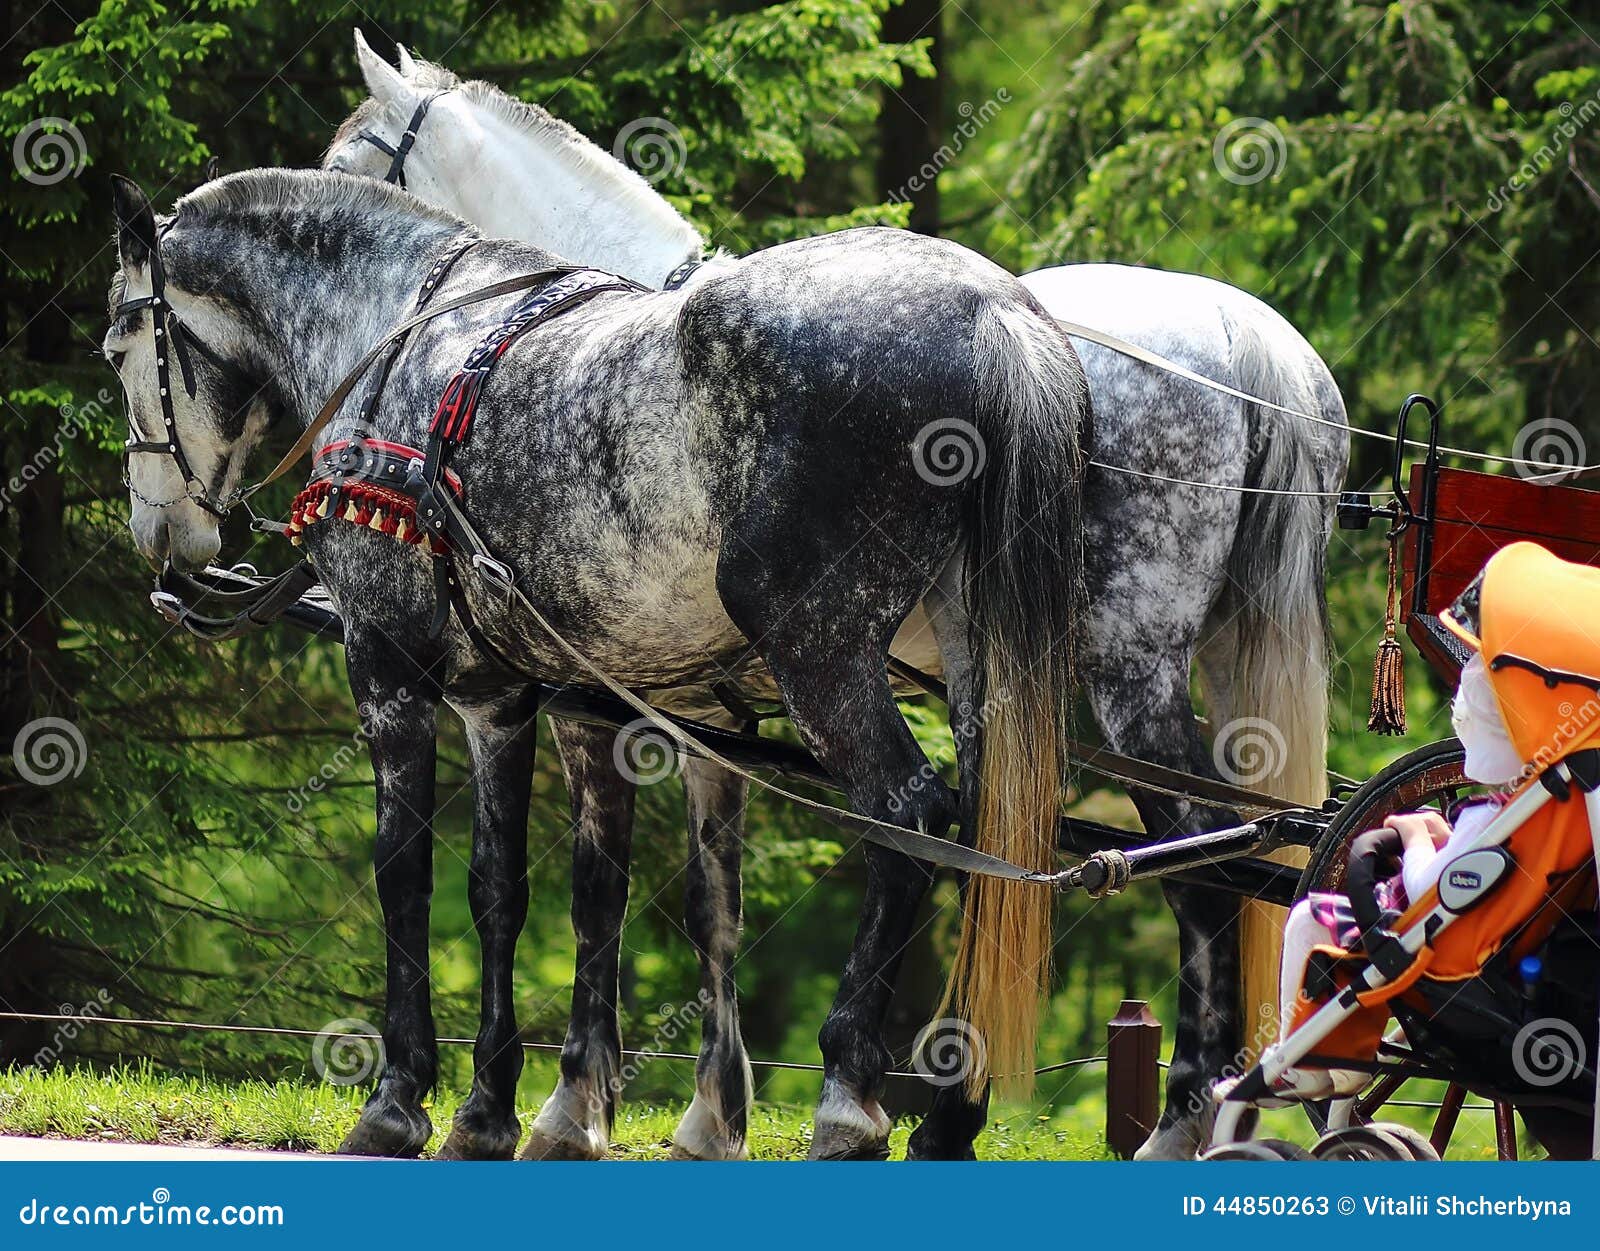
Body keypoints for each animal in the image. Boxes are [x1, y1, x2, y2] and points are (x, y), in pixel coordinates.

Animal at [106, 167, 1092, 1160]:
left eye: (120, 348)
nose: (159, 531)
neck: (396, 331)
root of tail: (994, 306)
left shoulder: (389, 667)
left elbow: (404, 871)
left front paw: (399, 1098)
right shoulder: (503, 697)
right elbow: (505, 889)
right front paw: (490, 1107)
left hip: (819, 646)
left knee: (907, 816)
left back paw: (848, 1093)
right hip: (974, 656)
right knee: (989, 829)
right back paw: (952, 1108)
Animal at [323, 36, 1351, 1160]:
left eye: (346, 160)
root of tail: (1246, 335)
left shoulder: (609, 702)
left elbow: (613, 890)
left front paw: (581, 1107)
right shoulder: (709, 711)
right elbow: (714, 892)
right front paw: (706, 1113)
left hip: (1124, 661)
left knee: (1196, 857)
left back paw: (1168, 1119)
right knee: (1230, 848)